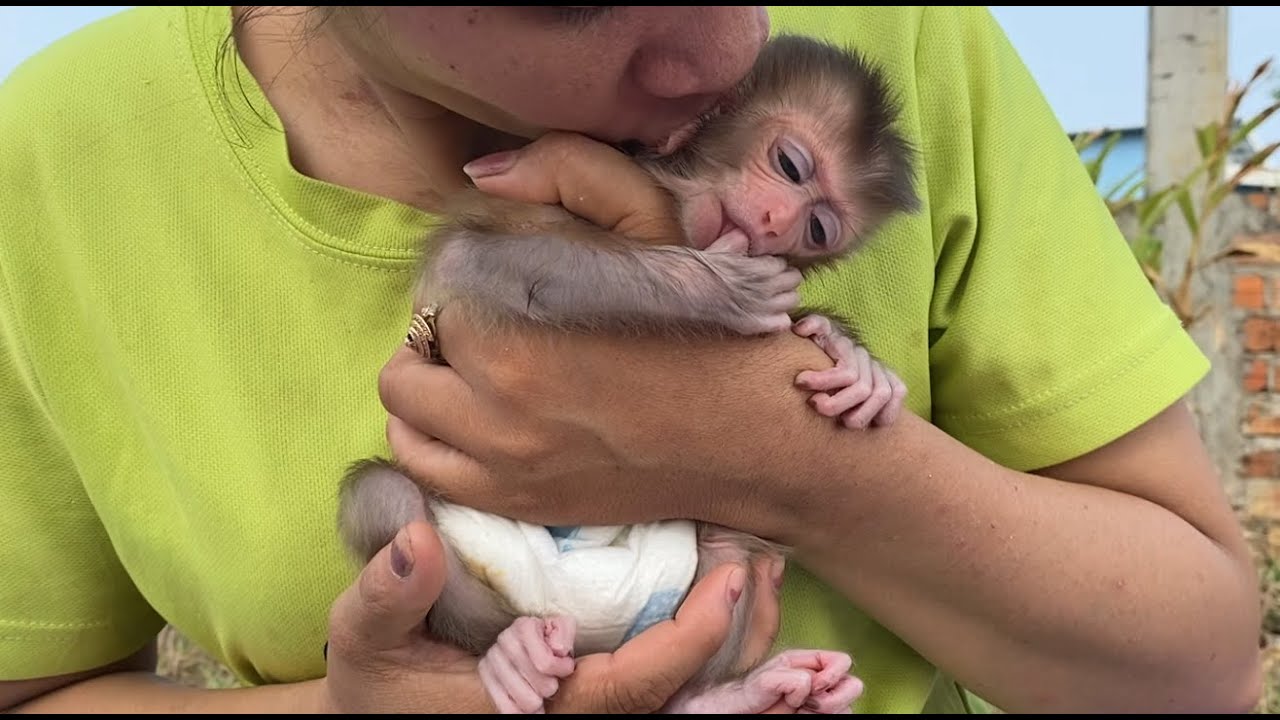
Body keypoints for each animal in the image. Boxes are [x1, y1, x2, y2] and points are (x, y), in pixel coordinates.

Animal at [336, 34, 920, 714]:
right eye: (791, 165)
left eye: (819, 228)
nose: (775, 222)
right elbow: (467, 260)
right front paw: (711, 288)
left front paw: (854, 358)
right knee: (388, 496)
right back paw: (512, 650)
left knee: (728, 554)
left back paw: (722, 696)